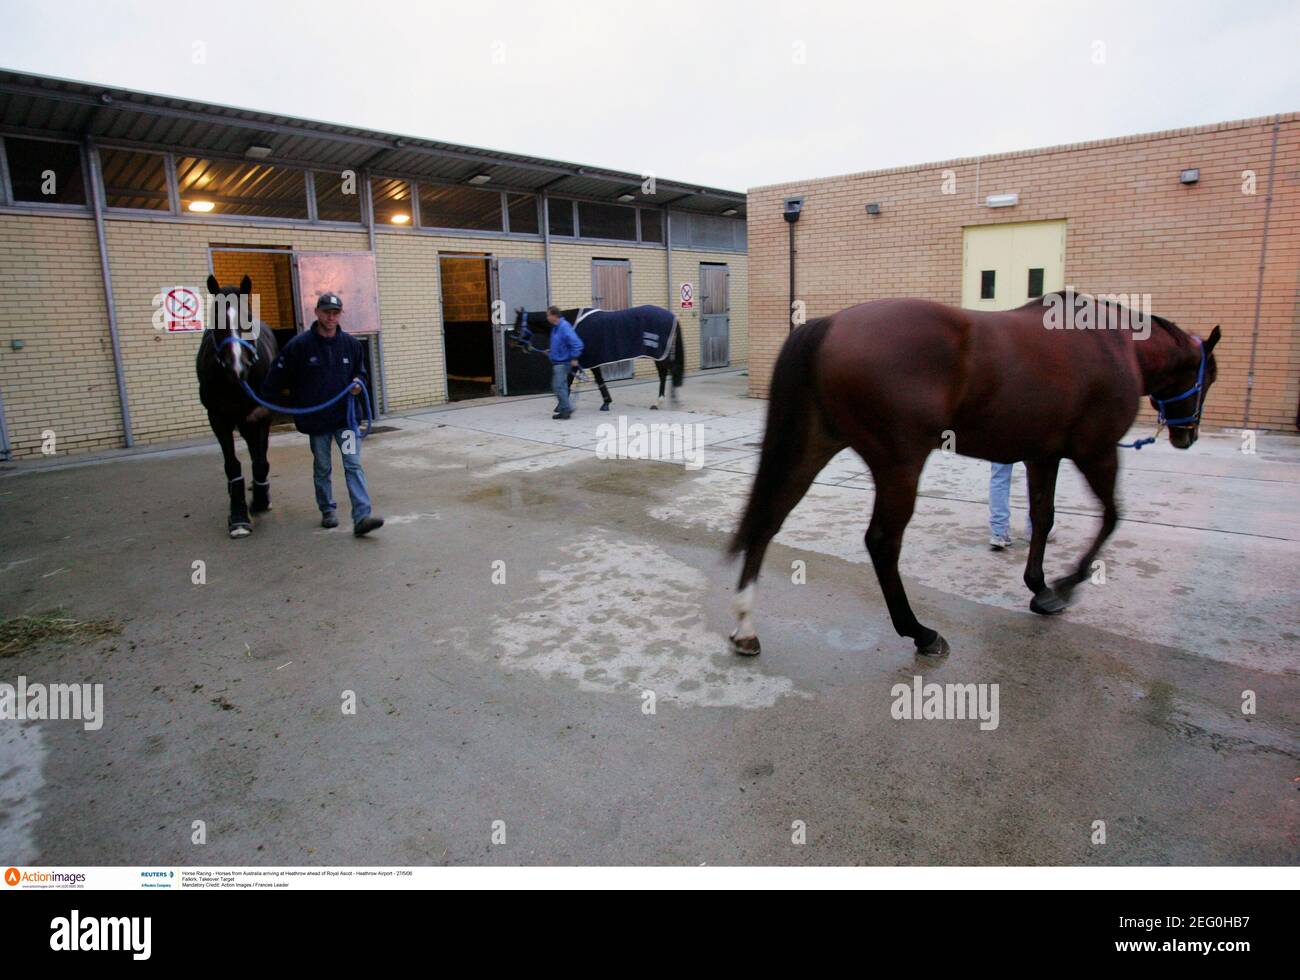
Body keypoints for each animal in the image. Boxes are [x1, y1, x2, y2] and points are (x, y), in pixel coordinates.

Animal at [195, 274, 280, 538]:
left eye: (248, 317)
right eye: (216, 320)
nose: (238, 368)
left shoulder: (261, 415)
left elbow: (260, 460)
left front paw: (260, 501)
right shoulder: (217, 418)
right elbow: (232, 465)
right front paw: (239, 516)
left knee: (257, 452)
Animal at [509, 306, 685, 410]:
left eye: (517, 325)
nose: (511, 344)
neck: (571, 323)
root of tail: (672, 316)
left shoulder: (578, 362)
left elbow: (568, 382)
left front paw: (561, 407)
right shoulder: (593, 361)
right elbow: (599, 380)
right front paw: (606, 402)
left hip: (659, 355)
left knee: (672, 370)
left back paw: (673, 400)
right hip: (658, 356)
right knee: (663, 374)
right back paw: (659, 402)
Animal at [728, 292, 1221, 658]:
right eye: (1209, 377)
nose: (1188, 435)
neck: (1114, 345)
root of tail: (830, 324)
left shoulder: (1042, 457)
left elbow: (1043, 518)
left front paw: (1039, 587)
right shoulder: (1095, 452)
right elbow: (1112, 516)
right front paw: (1064, 586)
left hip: (816, 445)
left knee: (769, 519)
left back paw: (746, 625)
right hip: (899, 463)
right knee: (882, 543)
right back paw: (920, 632)